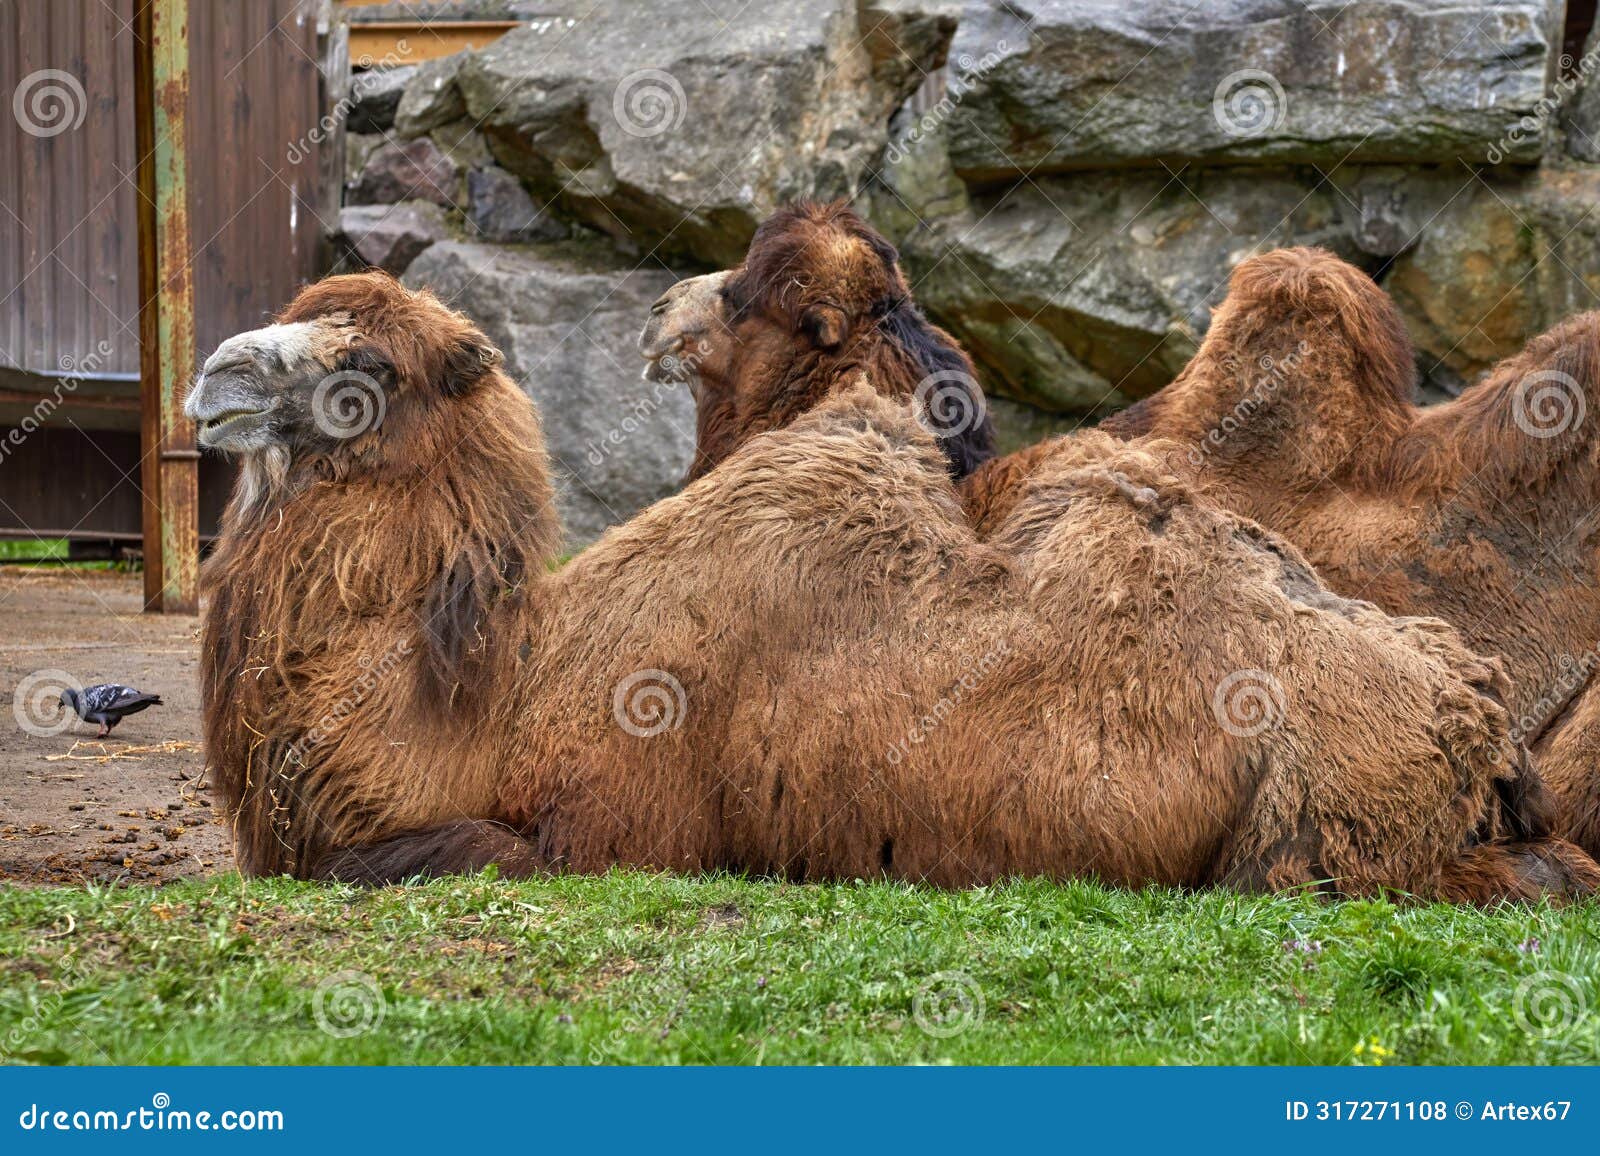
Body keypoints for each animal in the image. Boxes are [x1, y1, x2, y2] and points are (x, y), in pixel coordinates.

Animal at [186, 270, 1596, 900]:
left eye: (363, 365)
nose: (212, 378)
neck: (483, 694)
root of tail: (1485, 726)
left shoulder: (601, 832)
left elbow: (442, 850)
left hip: (1313, 844)